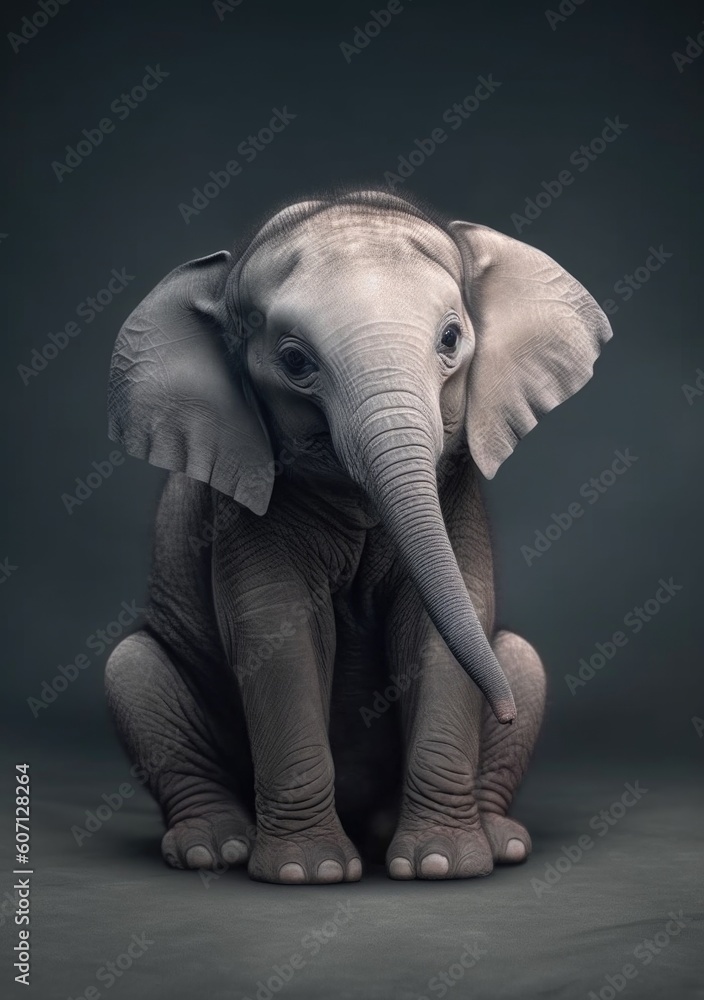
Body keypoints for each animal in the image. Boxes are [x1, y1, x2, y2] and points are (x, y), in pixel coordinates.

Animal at [105, 187, 611, 884]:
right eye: (294, 361)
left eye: (451, 338)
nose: (500, 710)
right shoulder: (249, 507)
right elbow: (277, 631)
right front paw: (307, 873)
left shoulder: (455, 494)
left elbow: (435, 631)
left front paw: (439, 867)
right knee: (131, 669)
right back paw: (217, 848)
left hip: (513, 672)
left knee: (522, 661)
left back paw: (497, 842)